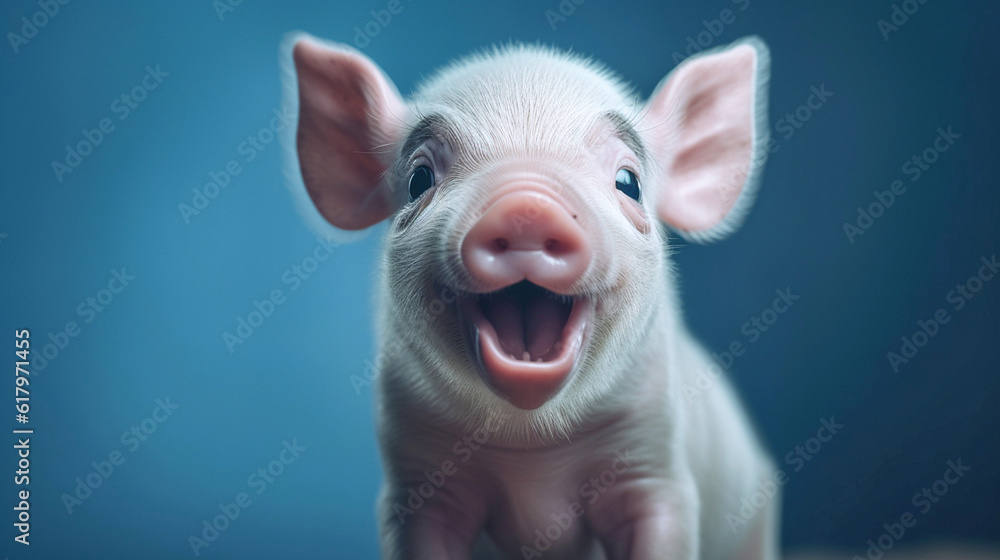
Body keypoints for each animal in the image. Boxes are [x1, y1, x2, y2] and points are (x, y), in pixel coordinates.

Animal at [282, 31, 777, 560]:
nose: (527, 208)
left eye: (628, 182)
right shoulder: (416, 479)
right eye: (419, 180)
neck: (531, 449)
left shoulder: (655, 464)